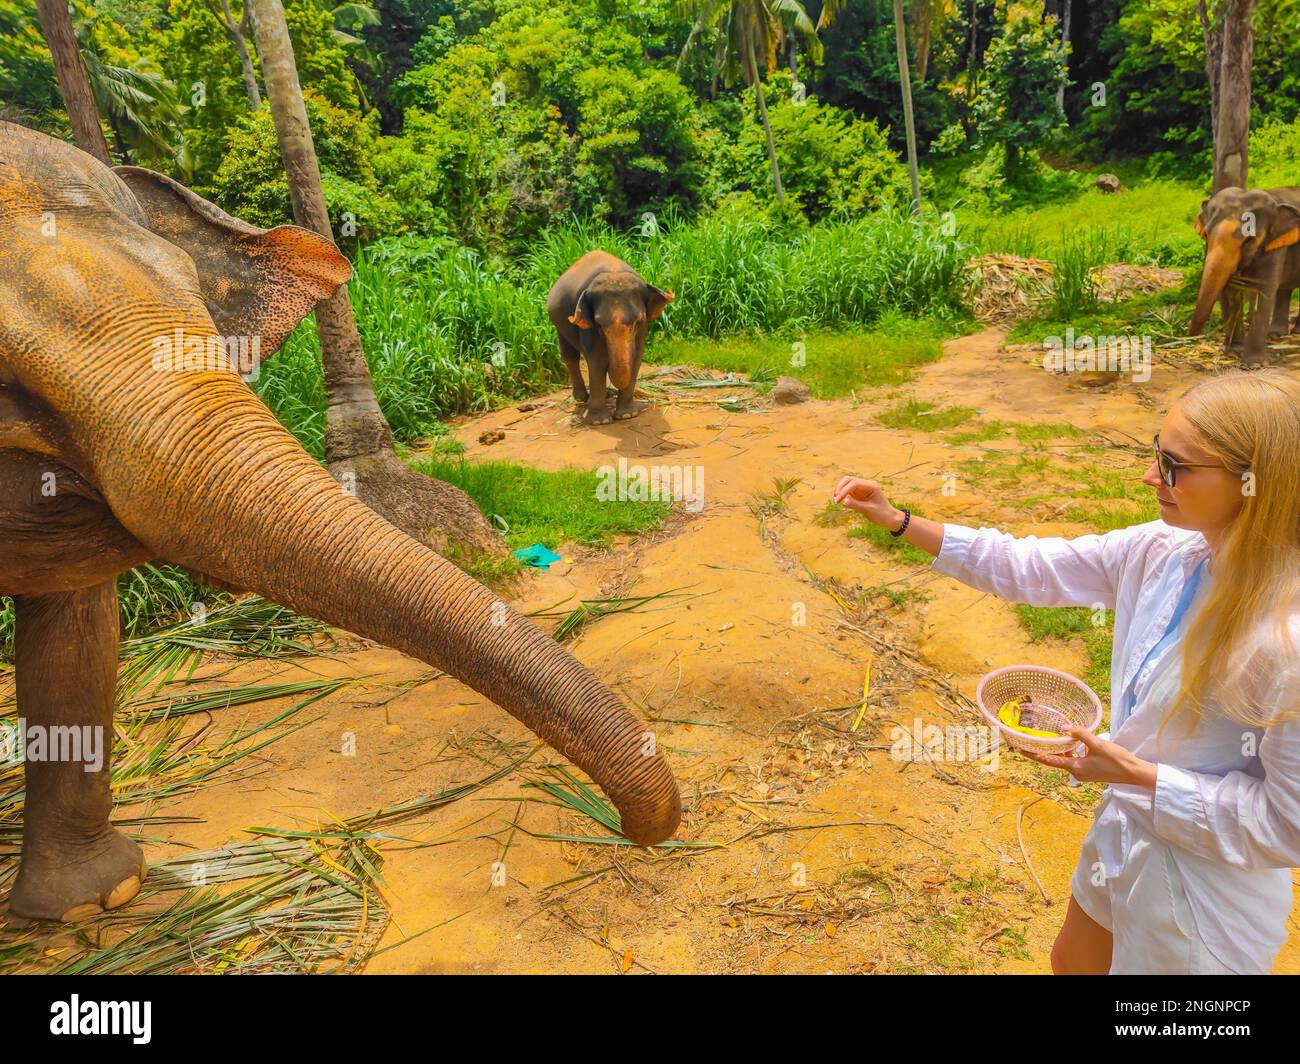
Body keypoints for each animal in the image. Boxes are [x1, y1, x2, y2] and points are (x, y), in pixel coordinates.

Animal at [546, 251, 674, 425]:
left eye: (638, 321)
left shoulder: (642, 330)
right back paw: (582, 398)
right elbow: (597, 360)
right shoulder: (589, 327)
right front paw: (600, 421)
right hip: (558, 324)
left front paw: (627, 415)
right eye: (599, 324)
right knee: (570, 356)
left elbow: (636, 357)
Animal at [1188, 186, 1300, 366]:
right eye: (1205, 235)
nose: (1190, 336)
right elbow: (1228, 291)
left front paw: (1254, 365)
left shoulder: (1274, 247)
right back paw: (1276, 334)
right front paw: (1234, 351)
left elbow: (1264, 292)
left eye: (1248, 240)